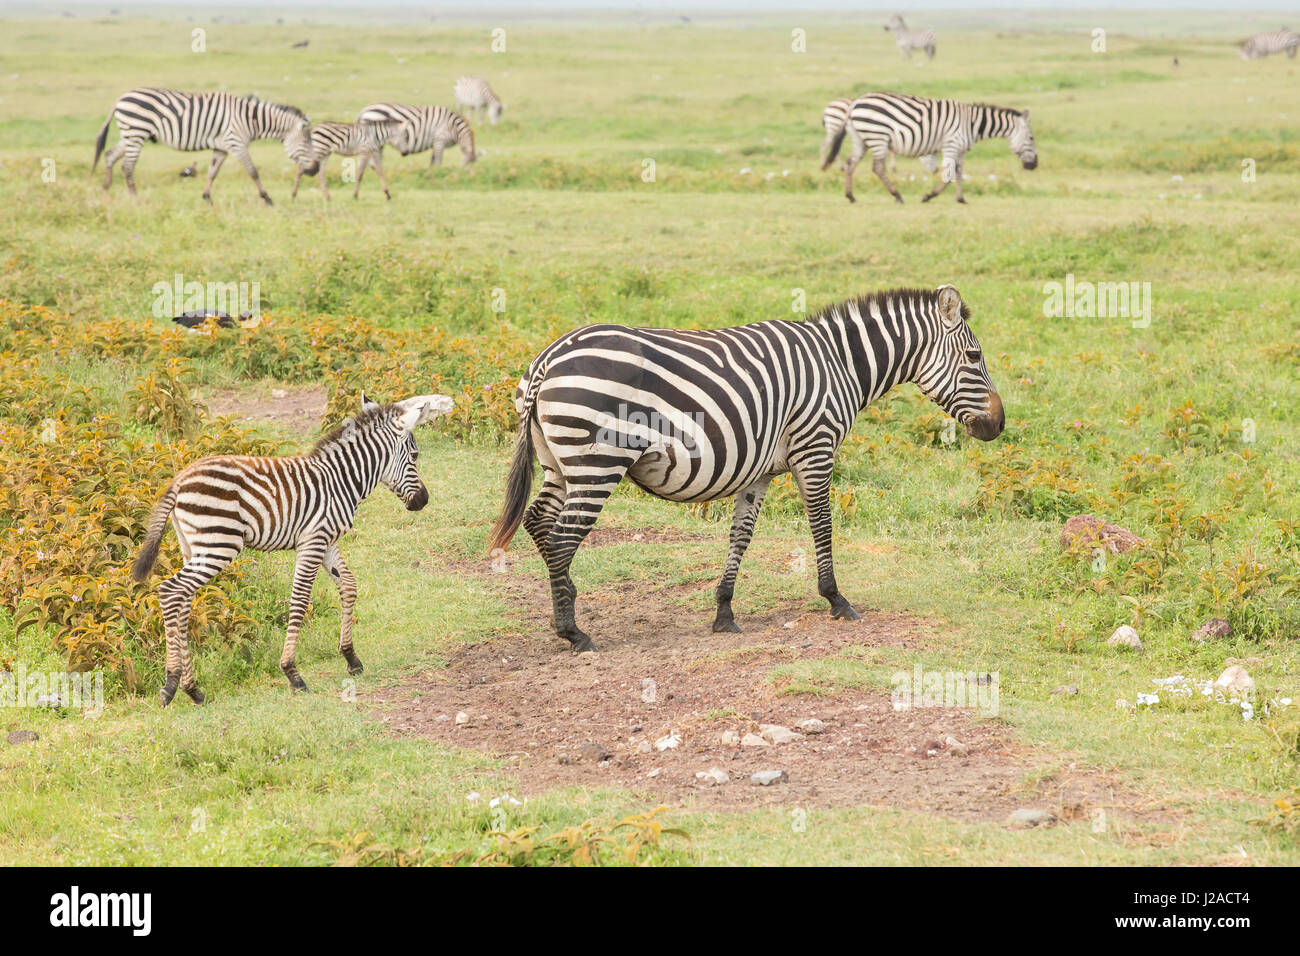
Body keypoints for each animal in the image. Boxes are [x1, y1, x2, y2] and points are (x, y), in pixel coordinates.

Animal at [93, 88, 320, 205]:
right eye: (307, 142)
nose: (316, 169)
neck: (250, 120)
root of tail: (120, 98)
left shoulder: (222, 147)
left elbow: (212, 172)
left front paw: (207, 198)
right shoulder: (237, 143)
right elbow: (253, 171)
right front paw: (267, 198)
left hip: (131, 134)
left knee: (110, 155)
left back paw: (105, 190)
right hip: (136, 132)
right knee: (128, 166)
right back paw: (134, 198)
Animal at [131, 394, 453, 704]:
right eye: (415, 456)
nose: (423, 500)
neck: (341, 480)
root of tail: (179, 480)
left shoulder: (327, 541)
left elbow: (348, 585)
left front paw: (350, 656)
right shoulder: (314, 540)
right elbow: (300, 601)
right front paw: (292, 674)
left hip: (194, 546)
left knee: (184, 599)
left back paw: (193, 689)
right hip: (219, 544)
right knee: (171, 591)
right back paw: (171, 685)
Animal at [489, 286, 1004, 652]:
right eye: (975, 358)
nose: (999, 425)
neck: (840, 364)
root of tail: (547, 358)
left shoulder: (760, 470)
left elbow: (741, 534)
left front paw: (724, 612)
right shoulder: (815, 446)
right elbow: (822, 524)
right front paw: (836, 598)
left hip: (559, 461)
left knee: (538, 522)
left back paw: (563, 611)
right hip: (597, 462)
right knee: (562, 537)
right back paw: (573, 632)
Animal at [842, 93, 1037, 204]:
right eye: (1031, 138)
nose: (1034, 165)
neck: (973, 124)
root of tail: (855, 103)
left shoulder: (960, 150)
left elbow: (958, 172)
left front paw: (961, 198)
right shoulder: (952, 144)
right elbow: (950, 174)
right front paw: (929, 196)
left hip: (861, 138)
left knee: (850, 163)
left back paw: (850, 196)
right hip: (878, 136)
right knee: (878, 168)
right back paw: (897, 196)